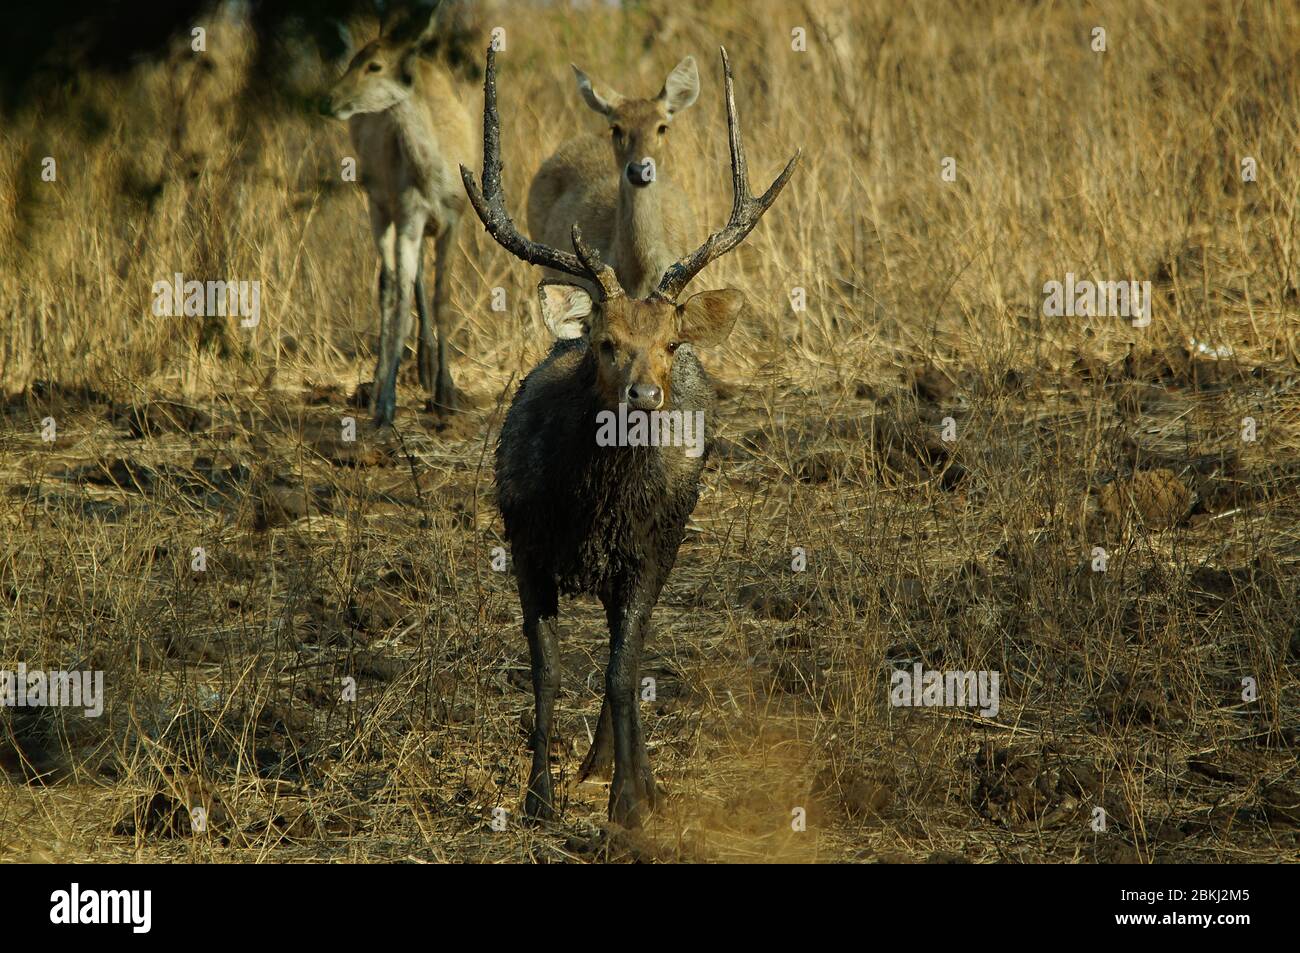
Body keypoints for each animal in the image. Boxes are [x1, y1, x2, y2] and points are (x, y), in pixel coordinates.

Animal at [321, 4, 476, 425]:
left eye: (374, 65)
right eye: (352, 58)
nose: (329, 100)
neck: (433, 175)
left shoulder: (456, 217)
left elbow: (442, 298)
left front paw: (446, 394)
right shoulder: (407, 211)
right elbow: (403, 297)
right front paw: (386, 404)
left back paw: (425, 369)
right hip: (378, 202)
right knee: (388, 286)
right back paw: (380, 386)